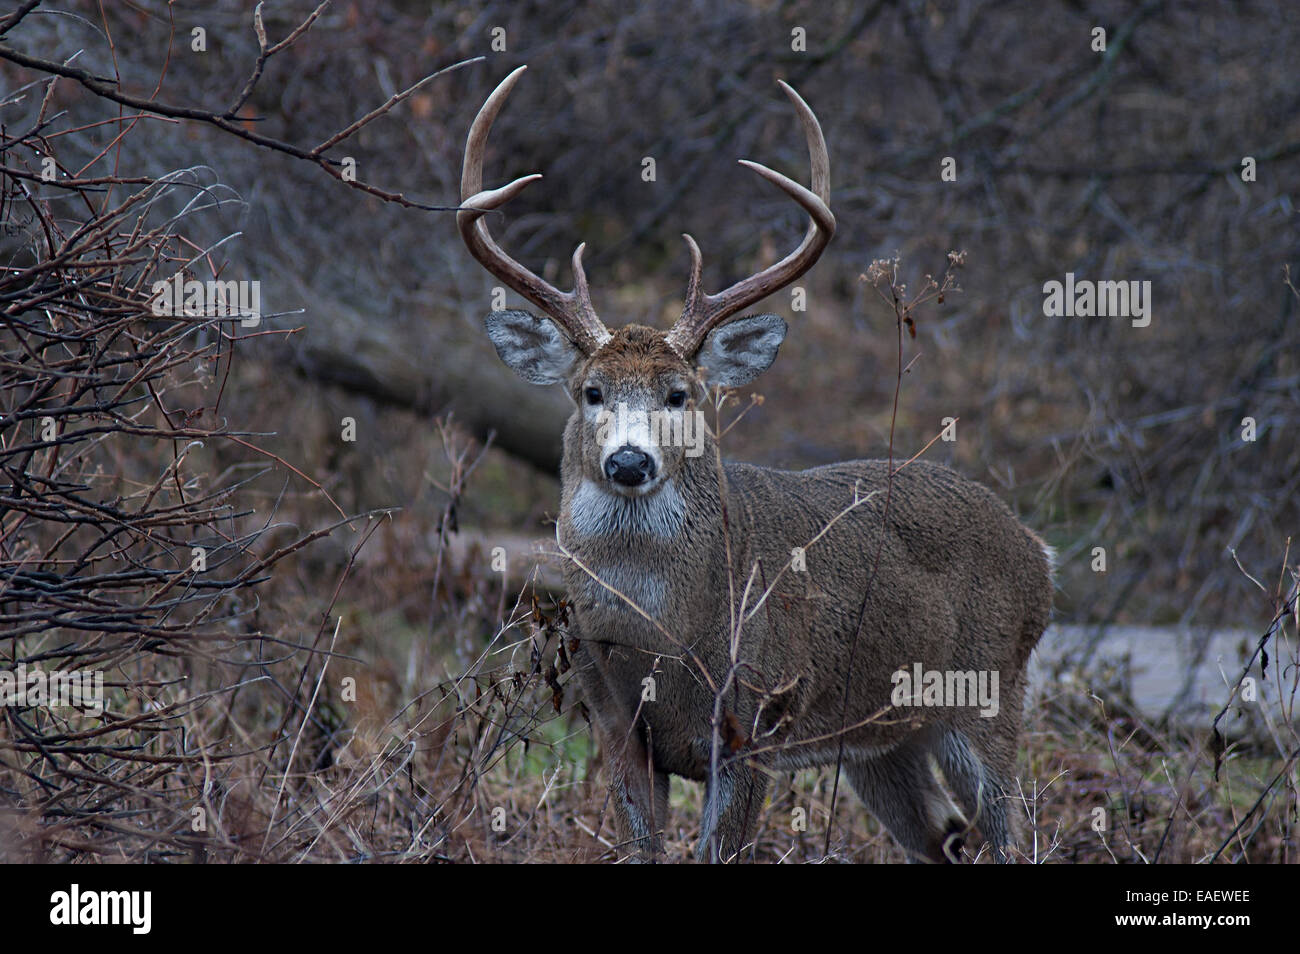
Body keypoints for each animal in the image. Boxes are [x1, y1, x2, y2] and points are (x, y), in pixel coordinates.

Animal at [456, 66, 1054, 863]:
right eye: (591, 391)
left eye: (681, 393)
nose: (629, 461)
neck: (662, 640)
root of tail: (1037, 548)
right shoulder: (611, 722)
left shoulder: (754, 721)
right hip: (883, 741)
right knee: (942, 838)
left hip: (990, 693)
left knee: (1009, 832)